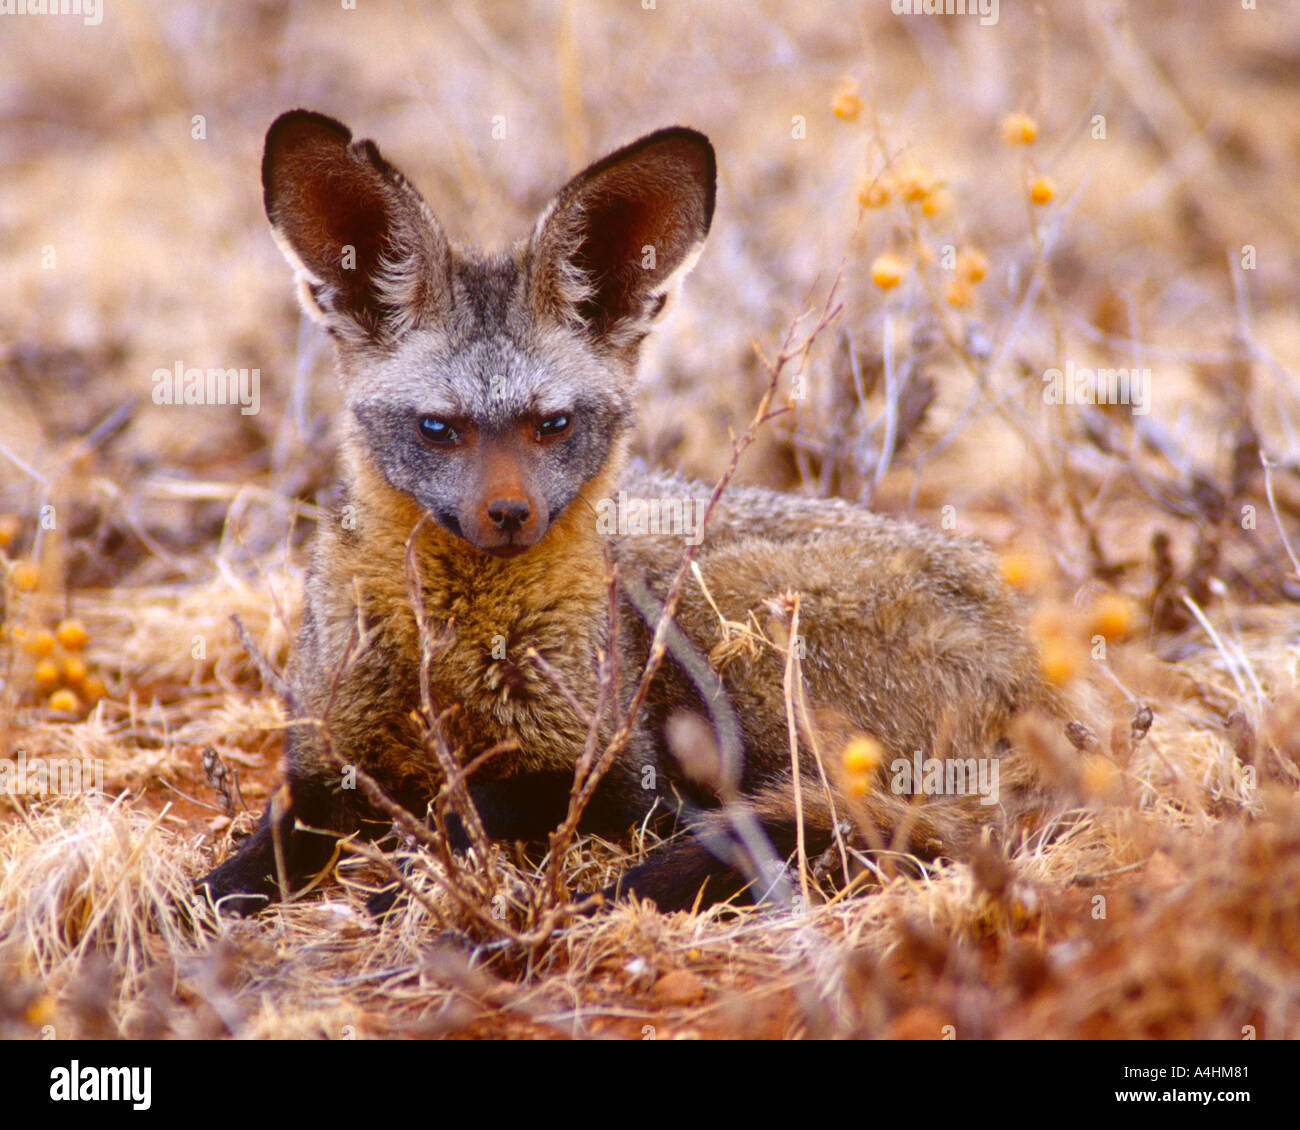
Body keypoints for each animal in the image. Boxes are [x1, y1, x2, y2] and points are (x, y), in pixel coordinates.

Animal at [198, 109, 1063, 916]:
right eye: (437, 429)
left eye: (552, 424)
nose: (508, 515)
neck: (458, 649)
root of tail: (1040, 674)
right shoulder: (323, 761)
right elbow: (260, 851)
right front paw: (199, 903)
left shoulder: (618, 769)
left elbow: (466, 809)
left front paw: (414, 885)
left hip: (729, 631)